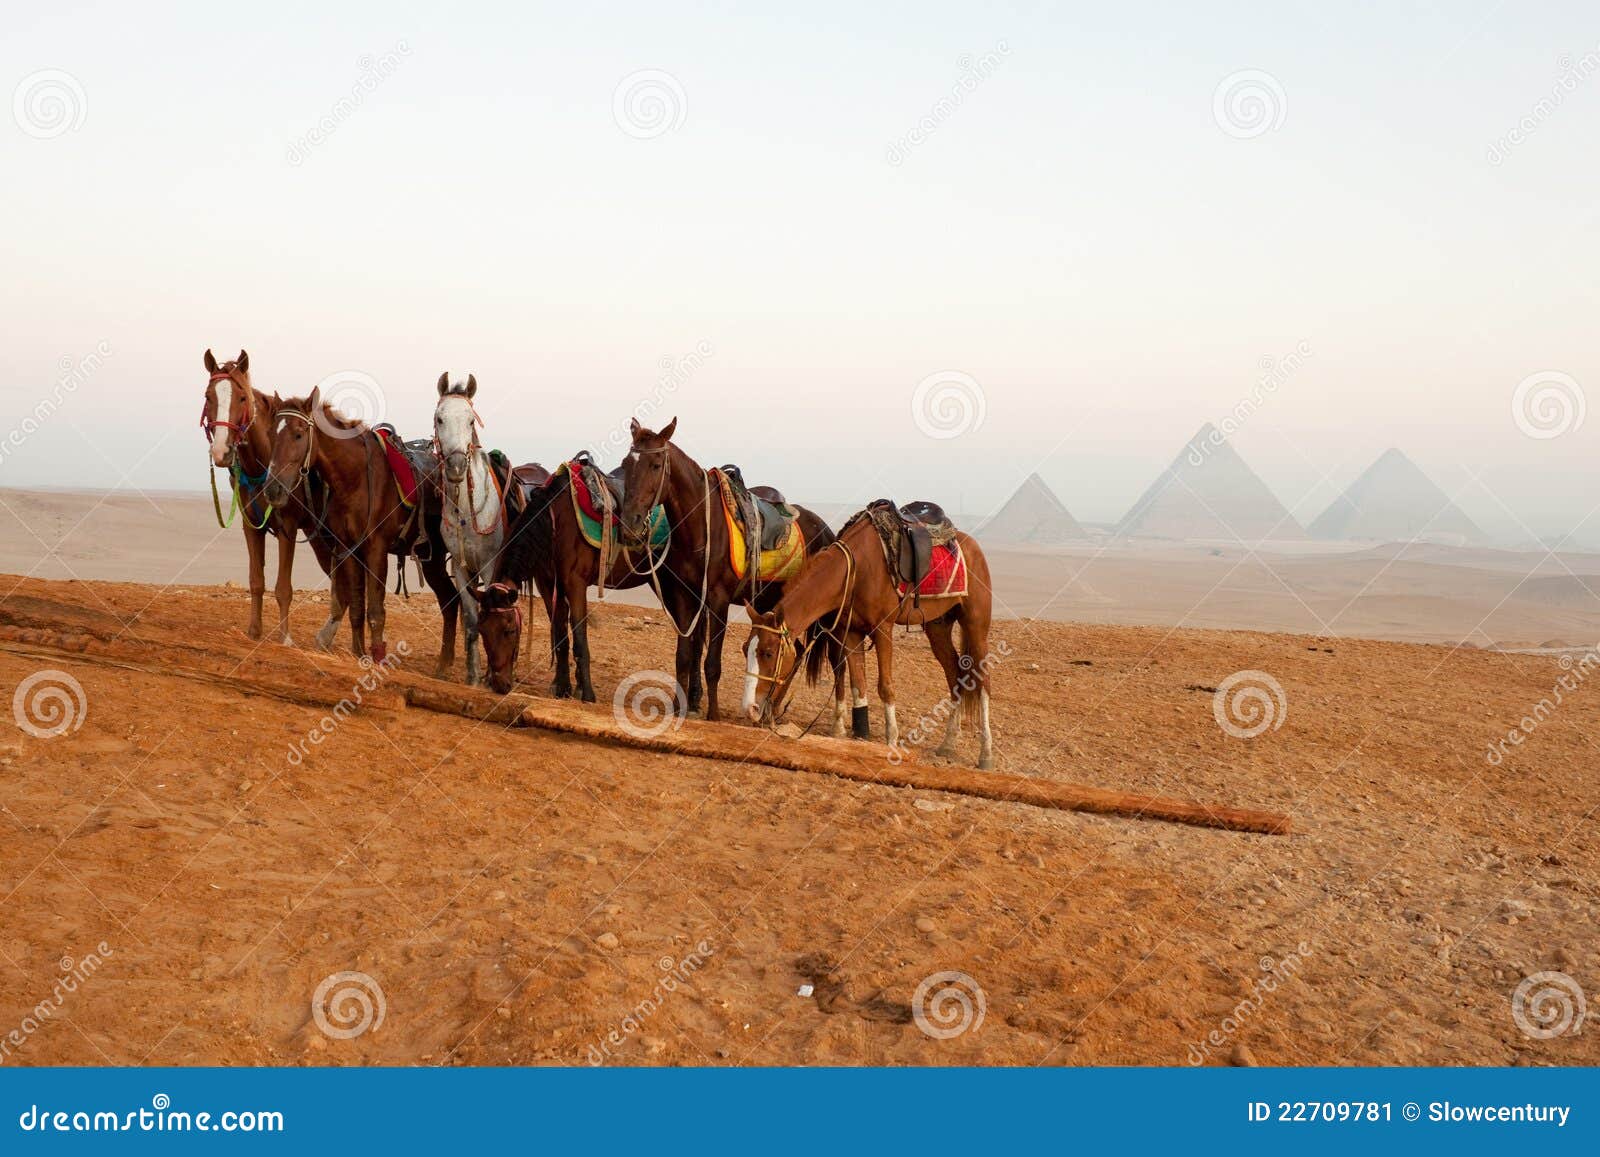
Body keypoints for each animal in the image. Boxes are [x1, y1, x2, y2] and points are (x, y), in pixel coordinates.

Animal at [200, 348, 350, 648]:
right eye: (208, 396)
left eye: (242, 397)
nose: (221, 451)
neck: (262, 465)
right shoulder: (251, 526)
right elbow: (256, 580)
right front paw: (254, 631)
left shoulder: (287, 528)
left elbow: (283, 588)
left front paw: (285, 638)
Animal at [261, 388, 424, 664]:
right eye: (273, 434)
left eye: (298, 434)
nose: (273, 489)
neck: (356, 478)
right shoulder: (348, 547)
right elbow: (357, 607)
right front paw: (359, 653)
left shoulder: (376, 549)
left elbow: (376, 610)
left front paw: (377, 658)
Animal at [615, 417, 840, 723]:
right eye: (627, 463)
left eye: (656, 465)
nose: (630, 523)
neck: (702, 525)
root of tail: (826, 530)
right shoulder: (686, 598)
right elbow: (684, 656)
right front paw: (679, 707)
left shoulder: (718, 601)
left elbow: (712, 662)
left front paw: (713, 713)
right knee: (796, 649)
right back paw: (771, 707)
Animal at [742, 502, 996, 769]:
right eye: (745, 648)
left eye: (768, 653)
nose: (749, 708)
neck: (853, 571)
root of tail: (973, 548)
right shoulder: (852, 632)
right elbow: (858, 684)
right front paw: (860, 736)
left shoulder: (883, 629)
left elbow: (885, 686)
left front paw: (891, 739)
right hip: (938, 626)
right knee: (954, 673)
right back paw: (948, 744)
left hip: (975, 624)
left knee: (984, 681)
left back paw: (985, 754)